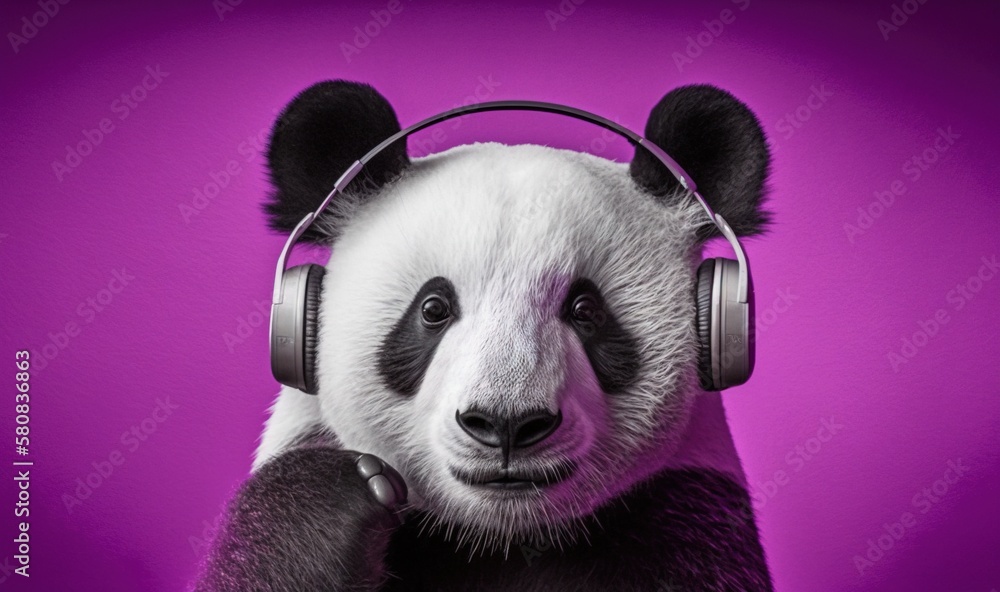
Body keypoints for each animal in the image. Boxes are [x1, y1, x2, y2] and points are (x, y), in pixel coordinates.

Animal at [194, 80, 773, 592]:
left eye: (585, 310)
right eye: (433, 309)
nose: (506, 424)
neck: (499, 537)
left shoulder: (687, 514)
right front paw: (337, 501)